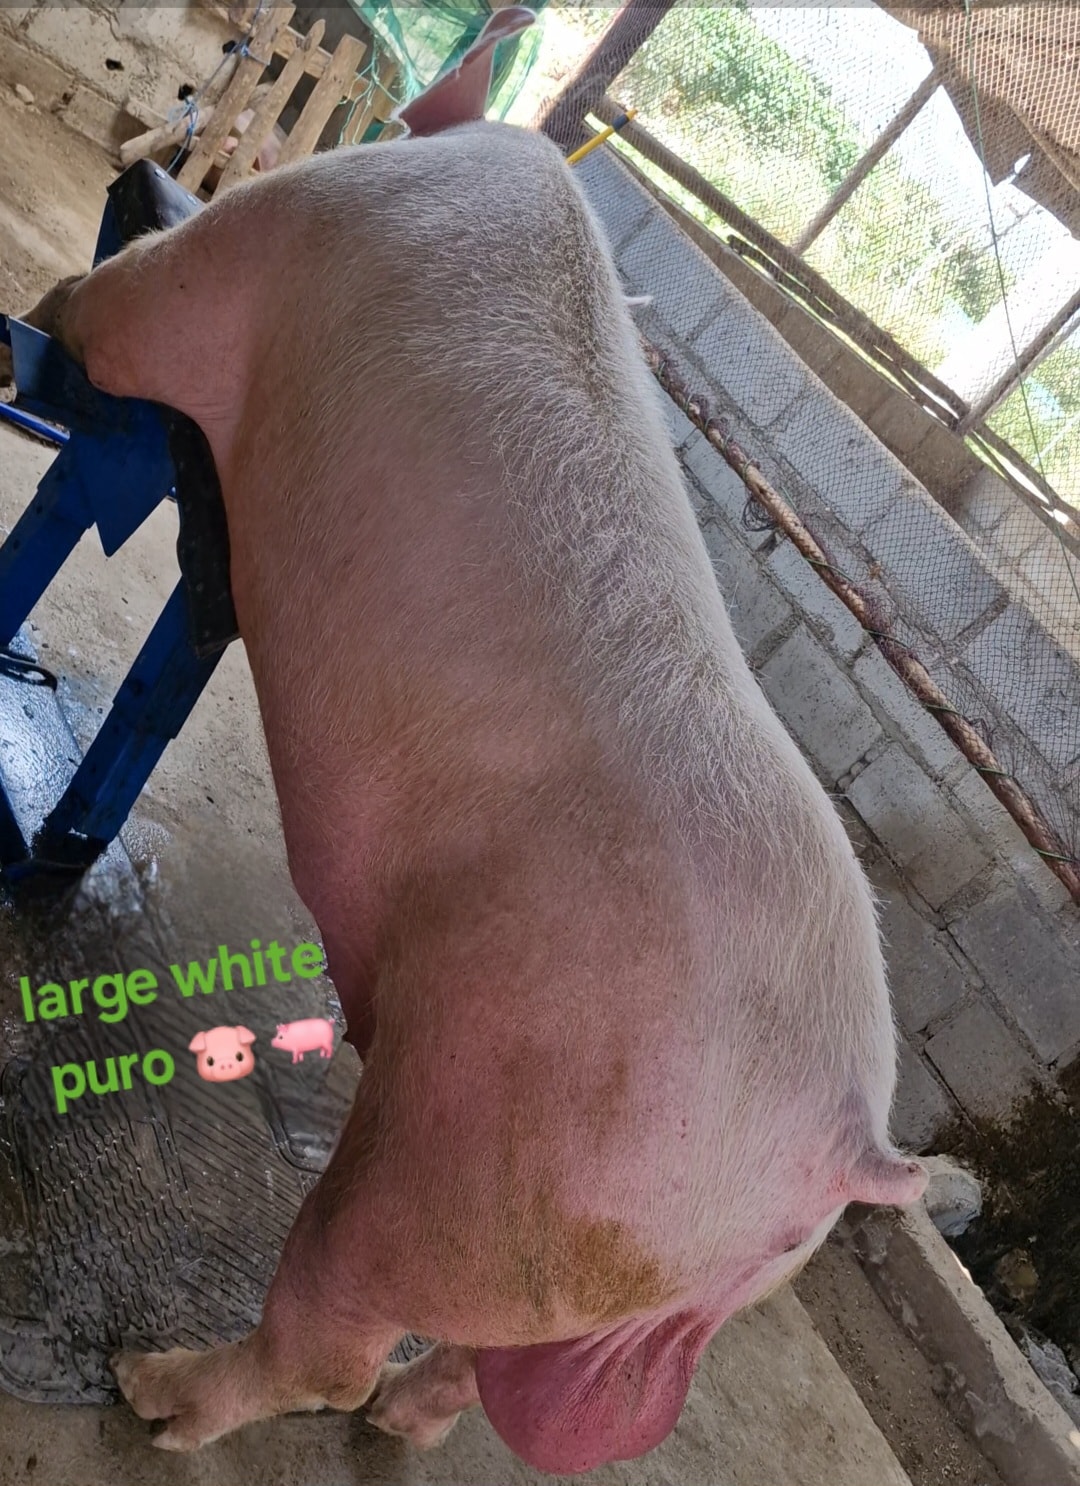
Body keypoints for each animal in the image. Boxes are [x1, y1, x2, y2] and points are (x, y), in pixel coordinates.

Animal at [16, 5, 927, 1473]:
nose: (147, 165)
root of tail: (846, 1143)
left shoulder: (243, 257)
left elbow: (118, 305)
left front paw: (45, 313)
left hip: (460, 1150)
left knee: (329, 1339)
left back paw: (151, 1387)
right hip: (596, 1268)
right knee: (465, 1369)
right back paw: (396, 1418)